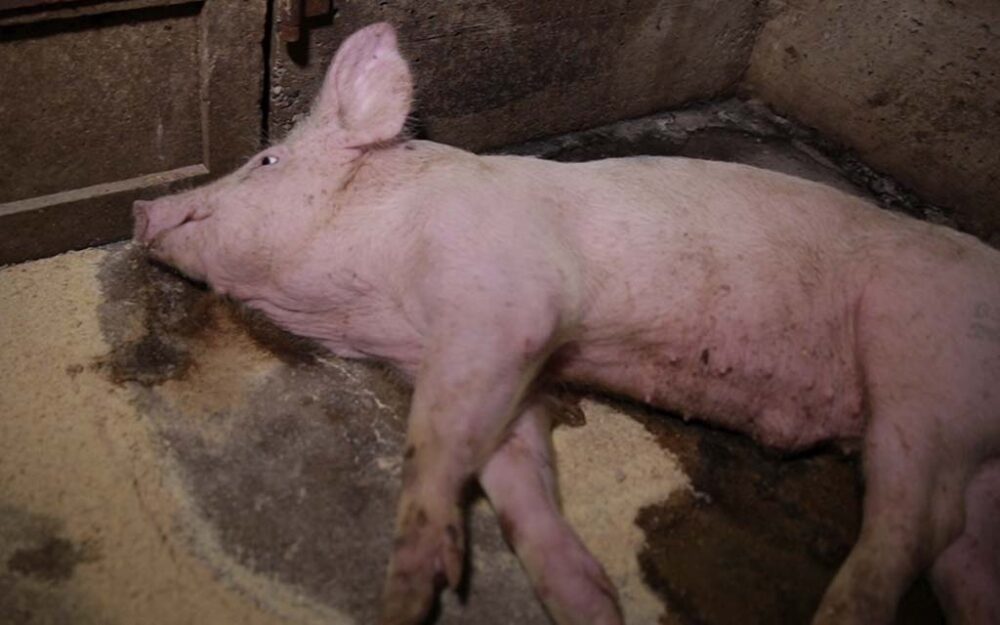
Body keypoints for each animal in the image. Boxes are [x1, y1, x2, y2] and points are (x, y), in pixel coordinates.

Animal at [132, 22, 1000, 625]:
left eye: (265, 162)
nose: (141, 208)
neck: (379, 294)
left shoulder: (506, 295)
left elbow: (434, 434)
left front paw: (408, 596)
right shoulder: (492, 361)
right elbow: (511, 465)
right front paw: (592, 604)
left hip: (920, 369)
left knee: (913, 519)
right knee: (958, 549)